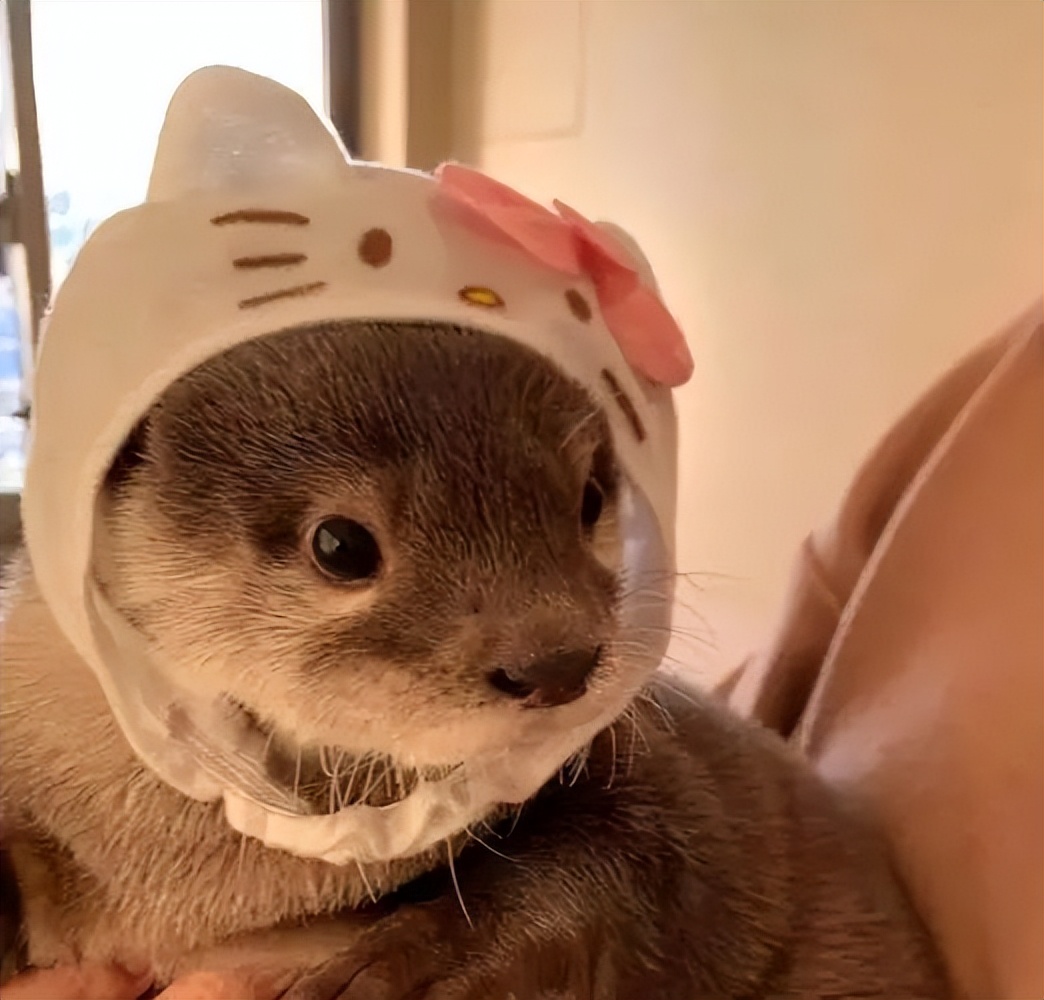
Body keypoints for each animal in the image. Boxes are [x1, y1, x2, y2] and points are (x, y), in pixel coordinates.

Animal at [0, 321, 947, 998]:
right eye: (340, 544)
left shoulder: (664, 784)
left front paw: (401, 964)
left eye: (589, 499)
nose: (560, 662)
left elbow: (633, 856)